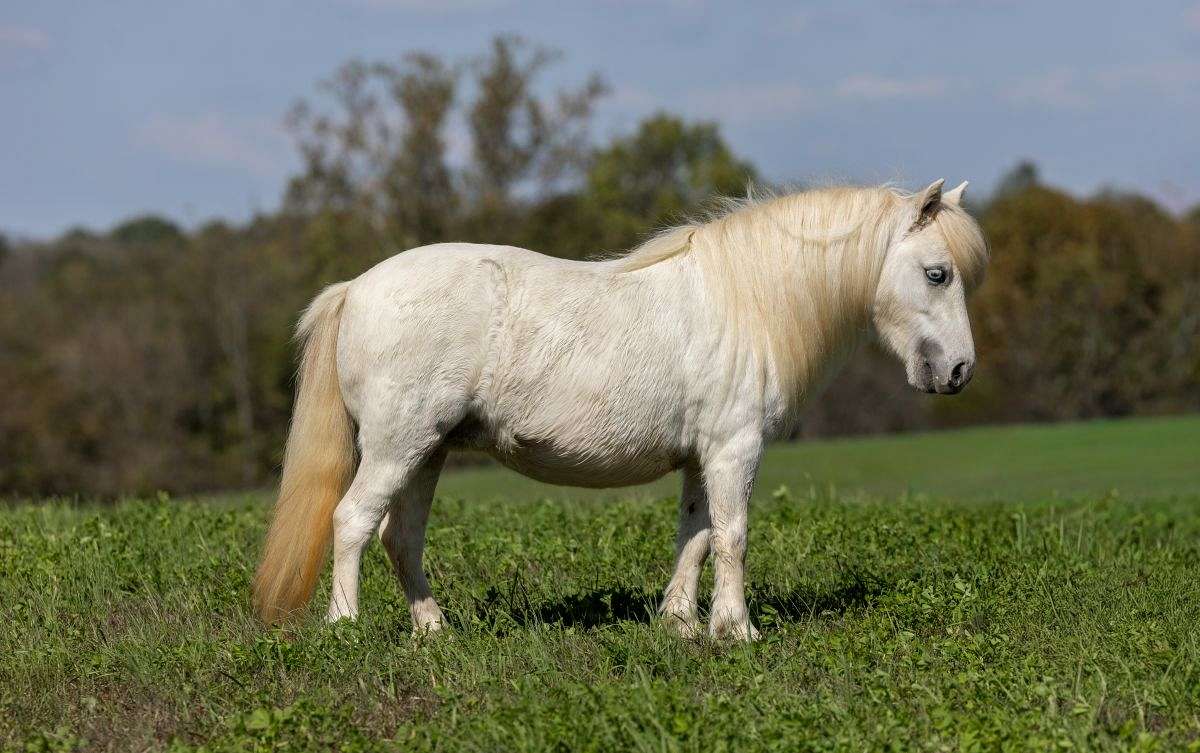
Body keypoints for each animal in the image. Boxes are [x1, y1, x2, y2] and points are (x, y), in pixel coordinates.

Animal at [253, 178, 988, 641]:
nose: (958, 372)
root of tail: (356, 288)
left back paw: (435, 630)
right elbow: (733, 535)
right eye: (937, 274)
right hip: (396, 446)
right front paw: (737, 628)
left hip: (428, 451)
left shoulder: (700, 456)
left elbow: (695, 536)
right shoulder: (734, 448)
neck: (747, 298)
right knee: (352, 521)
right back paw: (347, 627)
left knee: (399, 537)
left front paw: (681, 624)